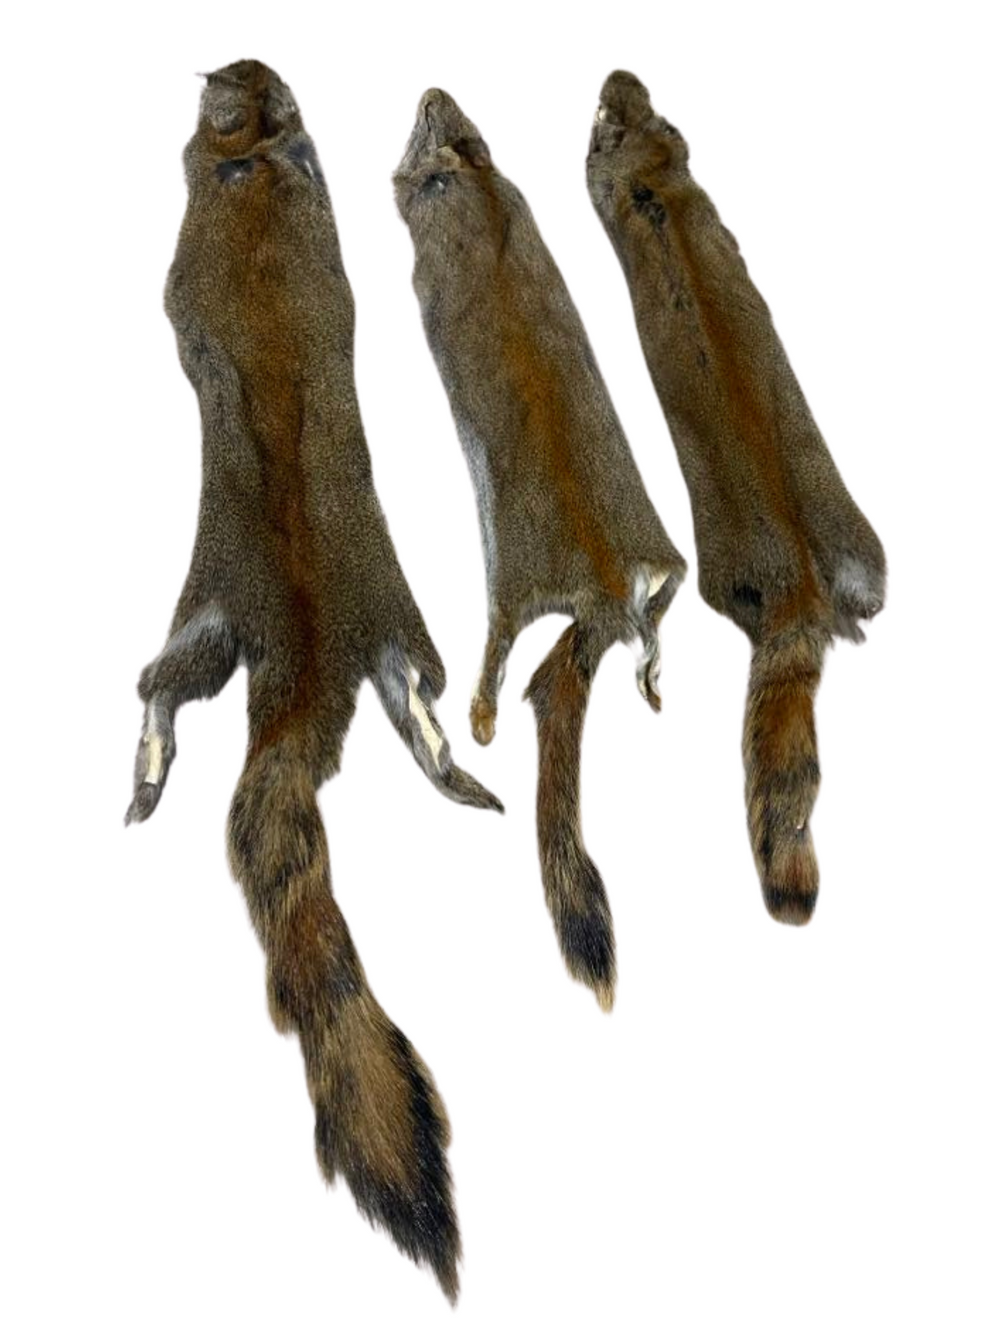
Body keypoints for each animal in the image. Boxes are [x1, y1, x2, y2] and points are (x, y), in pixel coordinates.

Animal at [125, 60, 502, 1302]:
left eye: (232, 97)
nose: (241, 72)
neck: (252, 172)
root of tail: (300, 675)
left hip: (218, 612)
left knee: (163, 686)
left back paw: (150, 766)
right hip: (372, 622)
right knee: (411, 701)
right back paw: (454, 770)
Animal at [394, 89, 686, 1011]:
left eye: (435, 133)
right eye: (460, 124)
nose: (430, 91)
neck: (482, 197)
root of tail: (601, 593)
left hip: (509, 579)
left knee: (494, 652)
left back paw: (483, 717)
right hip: (653, 536)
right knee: (670, 590)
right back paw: (652, 674)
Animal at [587, 70, 886, 923]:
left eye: (610, 116)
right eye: (652, 109)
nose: (618, 75)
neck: (664, 184)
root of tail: (807, 600)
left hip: (725, 575)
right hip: (861, 540)